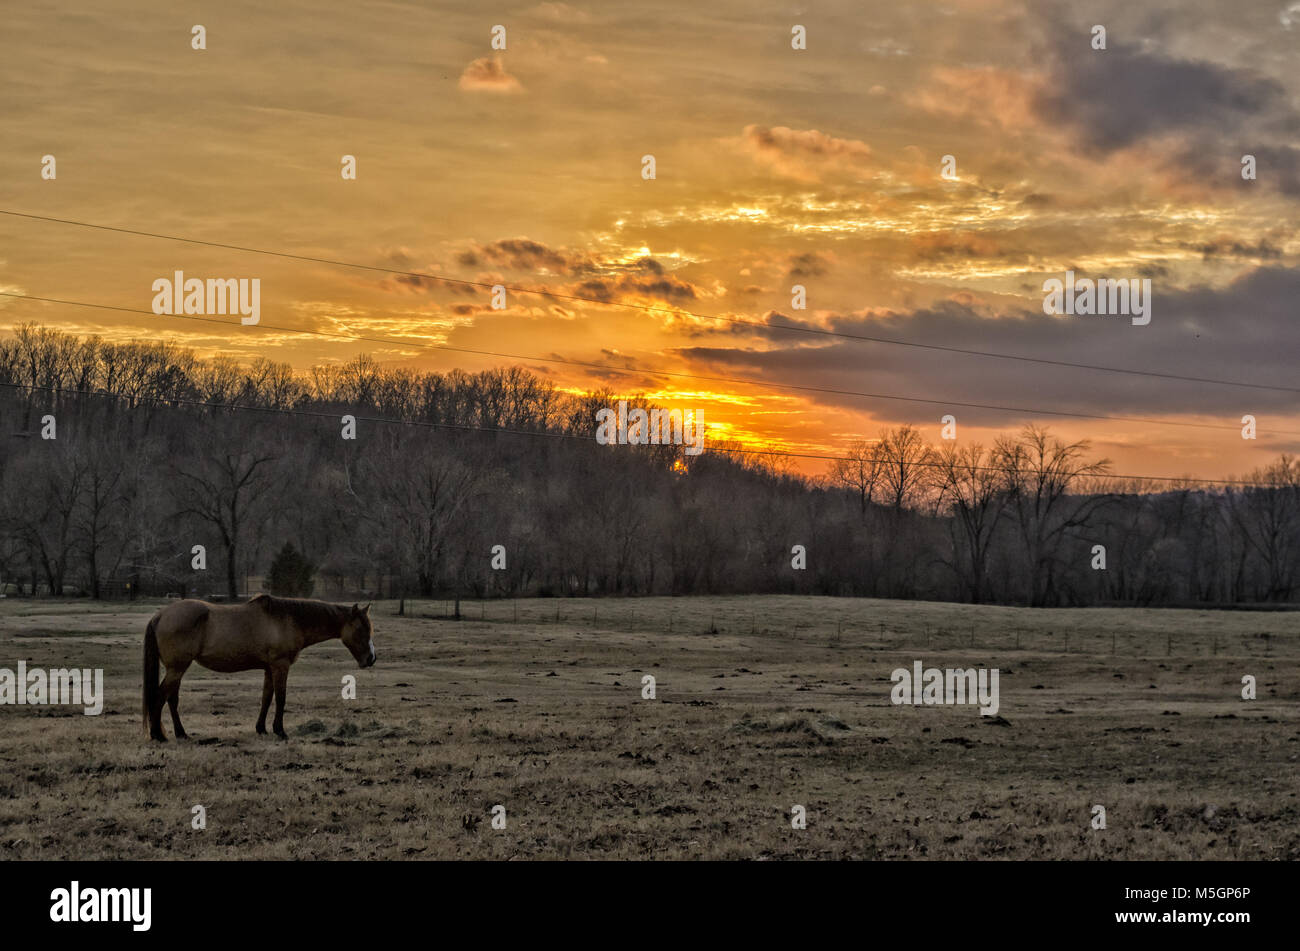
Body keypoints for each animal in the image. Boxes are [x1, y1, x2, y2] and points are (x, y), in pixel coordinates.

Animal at [143, 593, 375, 741]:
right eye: (361, 629)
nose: (371, 659)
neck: (288, 619)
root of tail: (160, 615)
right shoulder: (280, 666)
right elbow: (280, 698)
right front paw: (280, 731)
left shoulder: (268, 668)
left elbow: (266, 697)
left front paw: (261, 729)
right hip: (177, 668)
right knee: (160, 696)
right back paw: (158, 735)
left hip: (177, 669)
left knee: (171, 699)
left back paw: (180, 733)